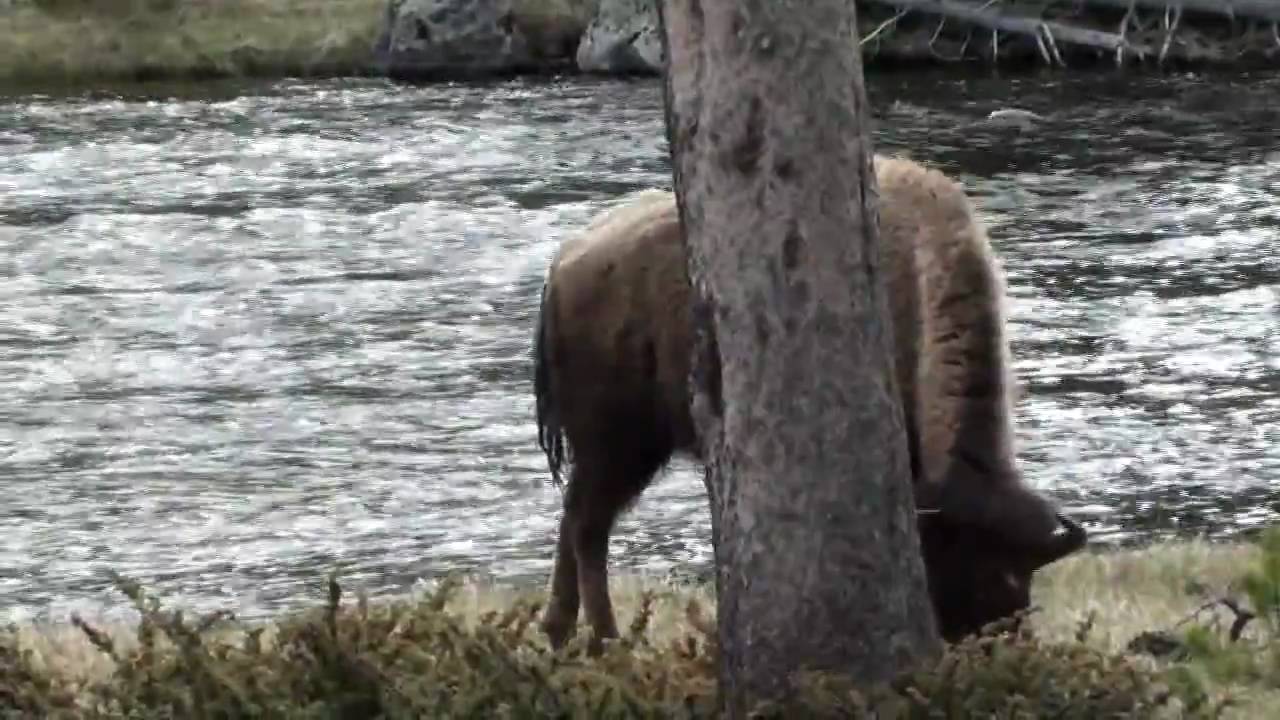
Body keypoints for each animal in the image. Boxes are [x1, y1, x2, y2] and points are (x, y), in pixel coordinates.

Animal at [531, 154, 1087, 651]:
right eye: (970, 575)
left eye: (1020, 586)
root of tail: (564, 263)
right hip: (621, 447)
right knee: (588, 526)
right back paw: (605, 639)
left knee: (573, 518)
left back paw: (558, 631)